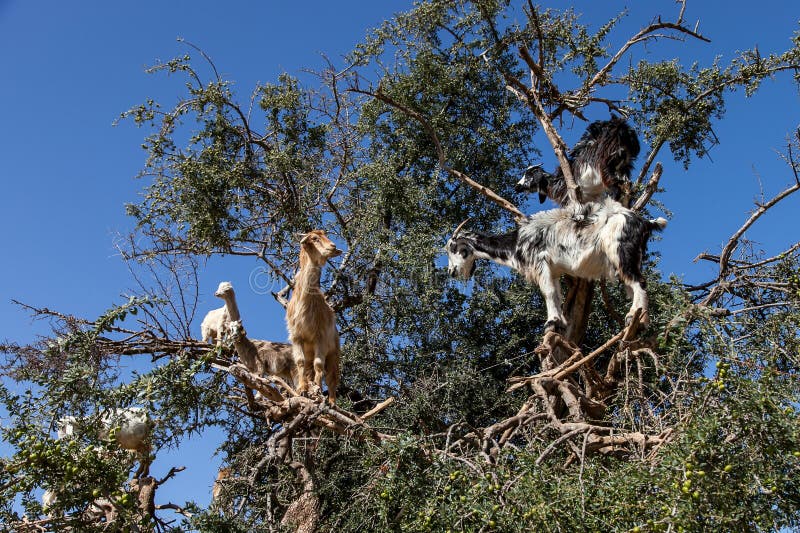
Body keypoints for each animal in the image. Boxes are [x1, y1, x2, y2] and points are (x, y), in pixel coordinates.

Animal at [286, 230, 342, 404]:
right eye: (315, 238)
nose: (333, 246)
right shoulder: (296, 336)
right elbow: (300, 362)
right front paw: (302, 389)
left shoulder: (320, 336)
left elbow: (319, 365)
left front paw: (317, 390)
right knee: (310, 368)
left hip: (334, 353)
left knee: (332, 377)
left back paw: (331, 402)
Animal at [446, 198, 666, 331]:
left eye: (454, 249)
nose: (452, 272)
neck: (516, 241)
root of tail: (646, 223)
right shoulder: (553, 270)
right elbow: (557, 294)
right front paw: (560, 322)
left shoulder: (540, 262)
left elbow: (548, 293)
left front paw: (550, 322)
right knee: (634, 286)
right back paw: (638, 318)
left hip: (620, 252)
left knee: (640, 282)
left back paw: (636, 318)